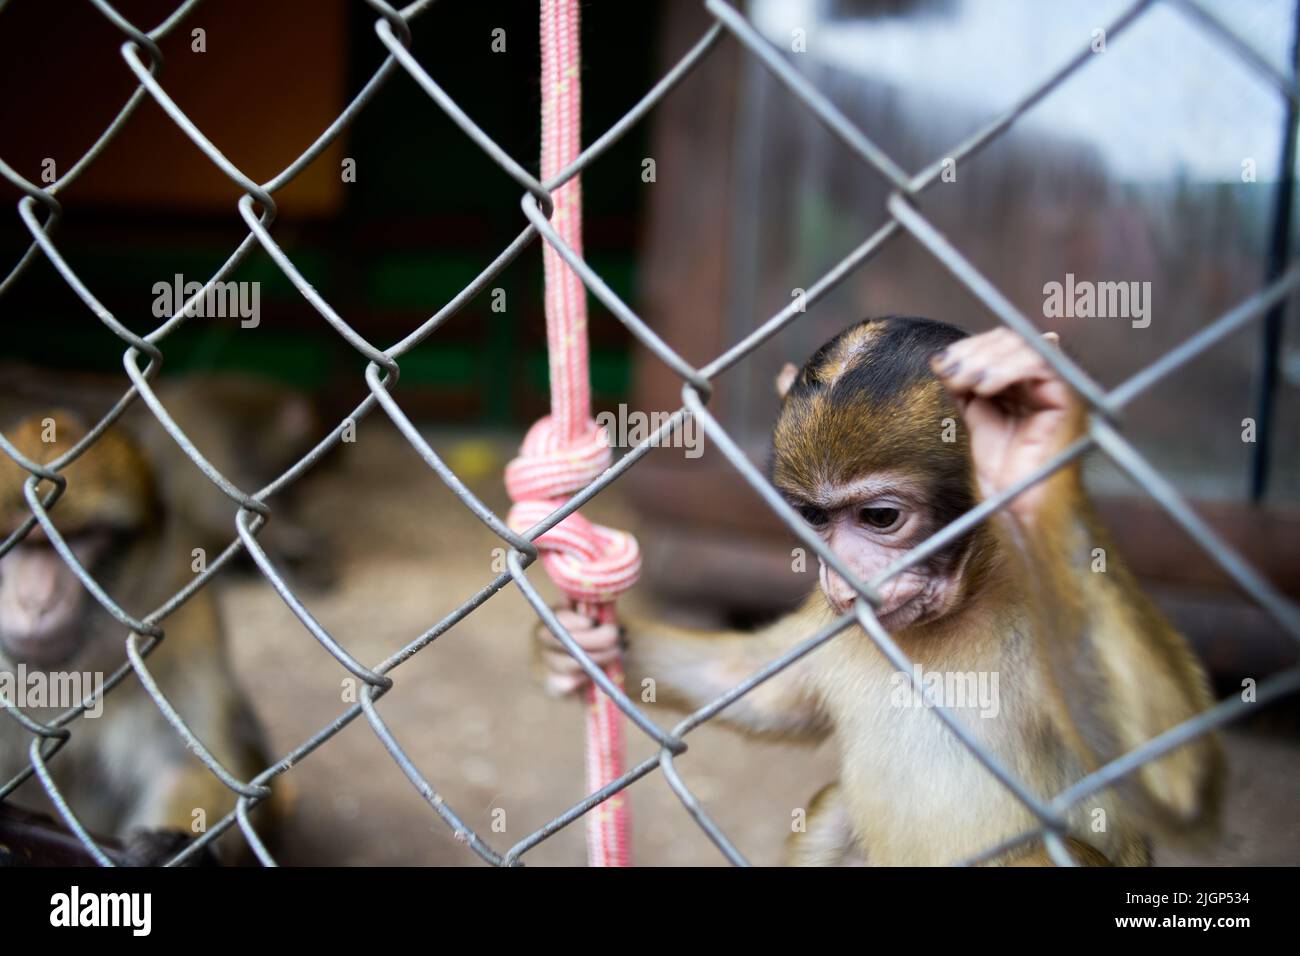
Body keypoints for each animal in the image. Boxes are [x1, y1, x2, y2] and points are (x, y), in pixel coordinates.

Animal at [0, 410, 277, 865]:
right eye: (19, 539)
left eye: (82, 538)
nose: (35, 602)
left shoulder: (185, 622)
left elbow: (179, 767)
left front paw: (176, 849)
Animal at [537, 316, 1222, 866]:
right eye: (815, 518)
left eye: (880, 518)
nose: (842, 576)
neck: (967, 598)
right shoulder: (832, 615)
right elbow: (765, 691)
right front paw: (584, 643)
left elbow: (1175, 774)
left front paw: (1036, 443)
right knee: (832, 810)